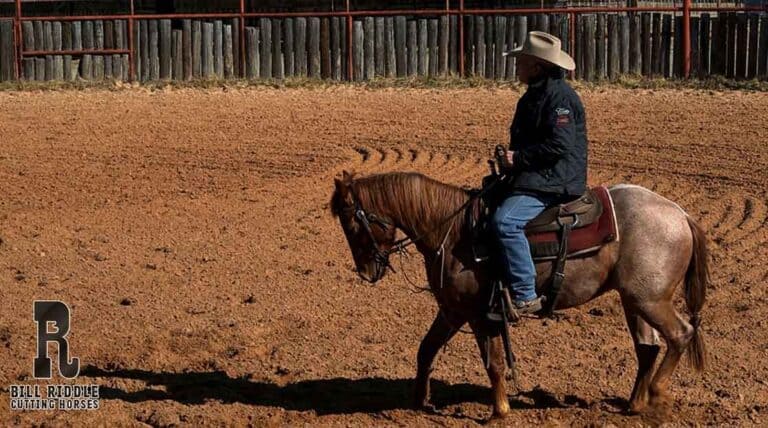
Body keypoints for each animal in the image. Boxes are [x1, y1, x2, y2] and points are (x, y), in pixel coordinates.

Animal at [330, 170, 708, 420]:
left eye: (351, 223)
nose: (366, 272)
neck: (454, 233)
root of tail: (681, 214)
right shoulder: (453, 310)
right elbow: (426, 350)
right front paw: (419, 401)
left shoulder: (478, 315)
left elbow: (494, 363)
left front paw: (499, 411)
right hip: (634, 301)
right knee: (648, 347)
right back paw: (633, 405)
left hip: (650, 300)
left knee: (681, 334)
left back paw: (656, 396)